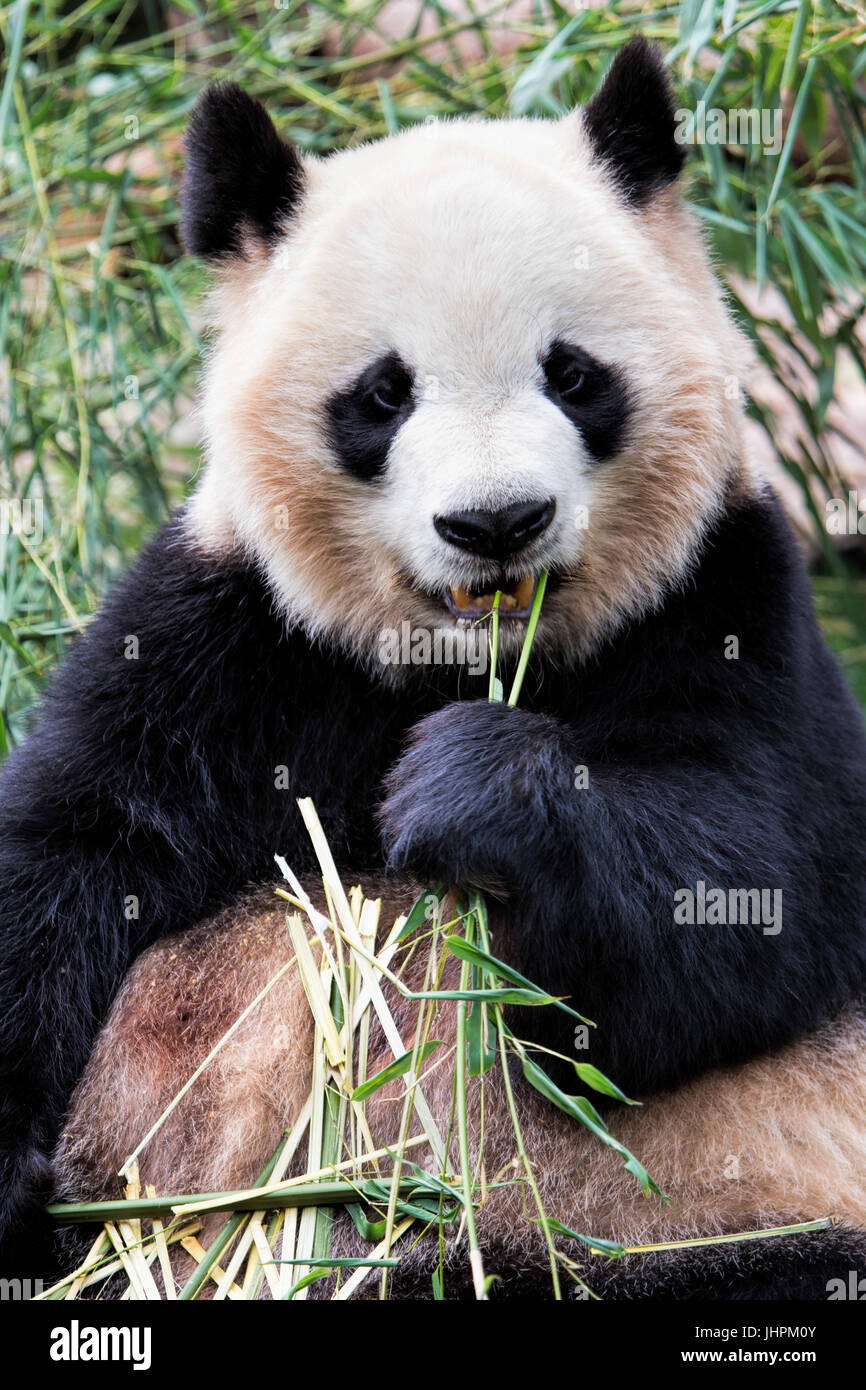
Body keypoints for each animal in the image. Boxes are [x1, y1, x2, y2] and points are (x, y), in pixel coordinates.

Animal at [2, 36, 866, 1300]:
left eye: (572, 374)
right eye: (382, 392)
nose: (495, 523)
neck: (460, 661)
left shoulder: (726, 597)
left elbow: (745, 900)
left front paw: (470, 792)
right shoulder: (225, 635)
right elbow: (72, 846)